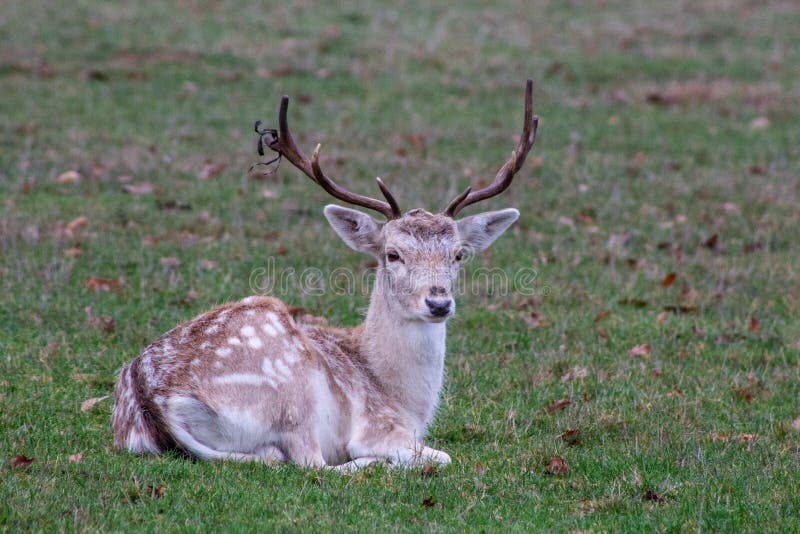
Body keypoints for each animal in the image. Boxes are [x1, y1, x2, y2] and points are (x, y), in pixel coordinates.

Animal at [112, 80, 538, 470]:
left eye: (458, 254)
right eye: (393, 254)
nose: (438, 302)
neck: (403, 399)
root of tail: (155, 401)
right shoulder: (380, 426)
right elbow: (442, 456)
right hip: (291, 393)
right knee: (311, 462)